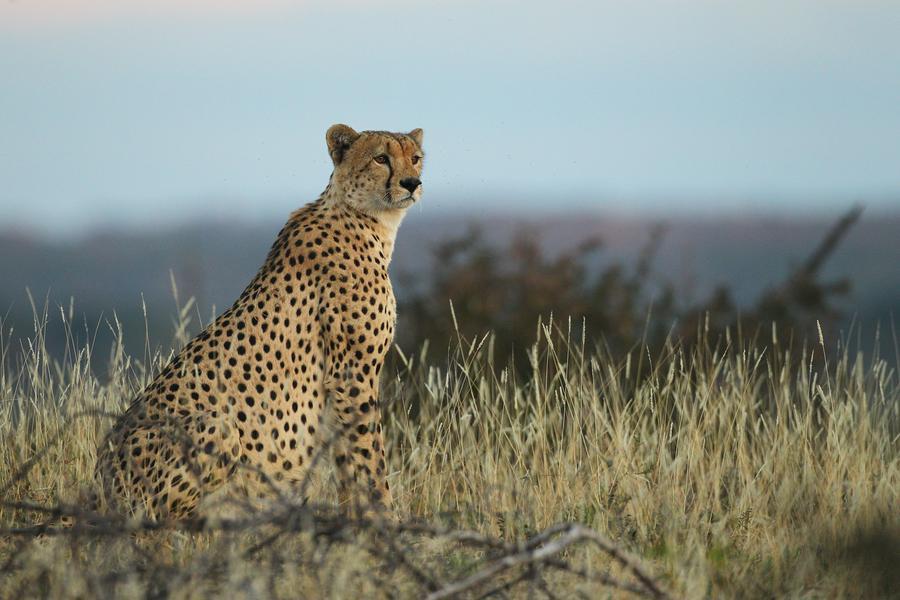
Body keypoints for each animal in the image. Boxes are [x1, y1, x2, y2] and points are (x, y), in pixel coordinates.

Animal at [95, 124, 424, 520]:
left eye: (416, 158)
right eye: (380, 158)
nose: (412, 183)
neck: (366, 218)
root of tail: (98, 480)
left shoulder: (341, 383)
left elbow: (349, 459)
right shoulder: (352, 374)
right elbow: (370, 455)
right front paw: (385, 518)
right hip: (215, 426)